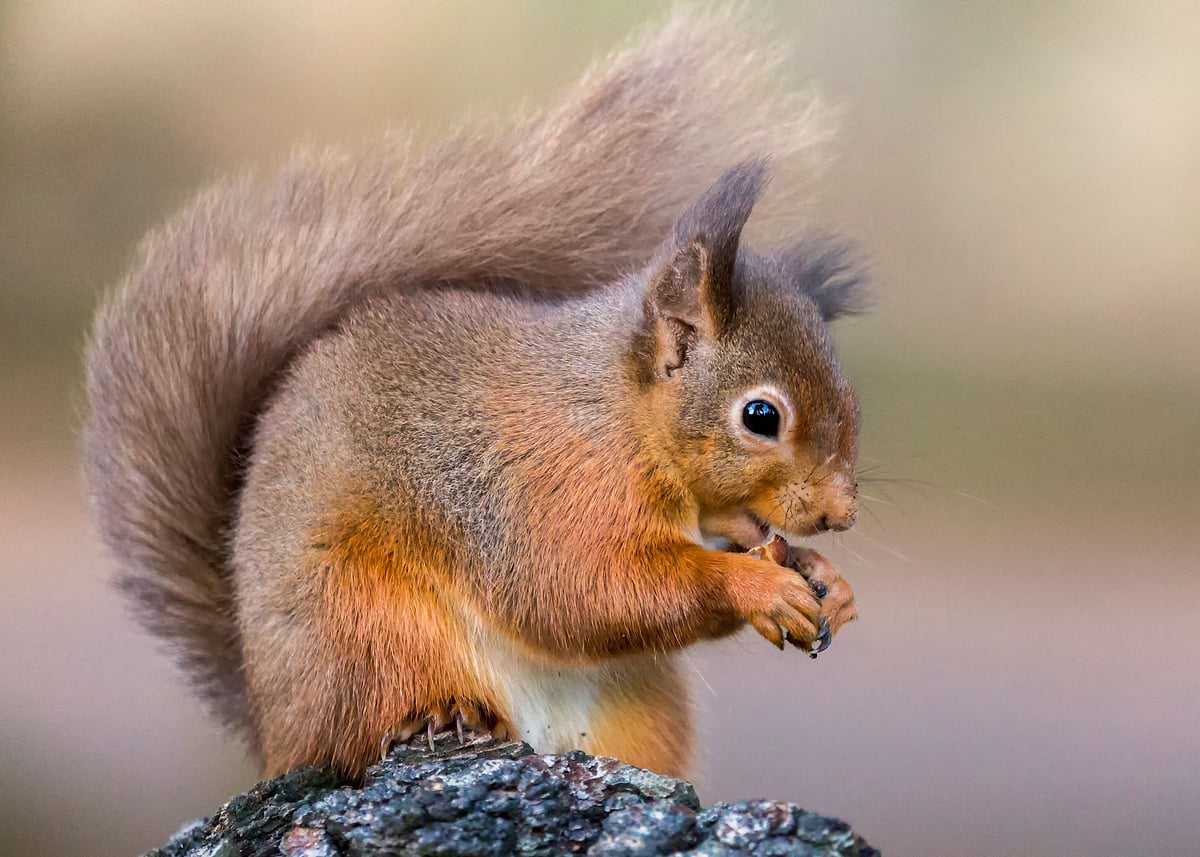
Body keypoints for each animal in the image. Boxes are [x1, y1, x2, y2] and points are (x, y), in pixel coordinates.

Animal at [83, 7, 865, 781]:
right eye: (760, 416)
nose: (840, 512)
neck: (620, 415)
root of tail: (275, 731)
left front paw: (823, 576)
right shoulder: (546, 490)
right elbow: (587, 589)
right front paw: (758, 587)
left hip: (640, 708)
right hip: (366, 625)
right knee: (369, 712)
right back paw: (443, 712)